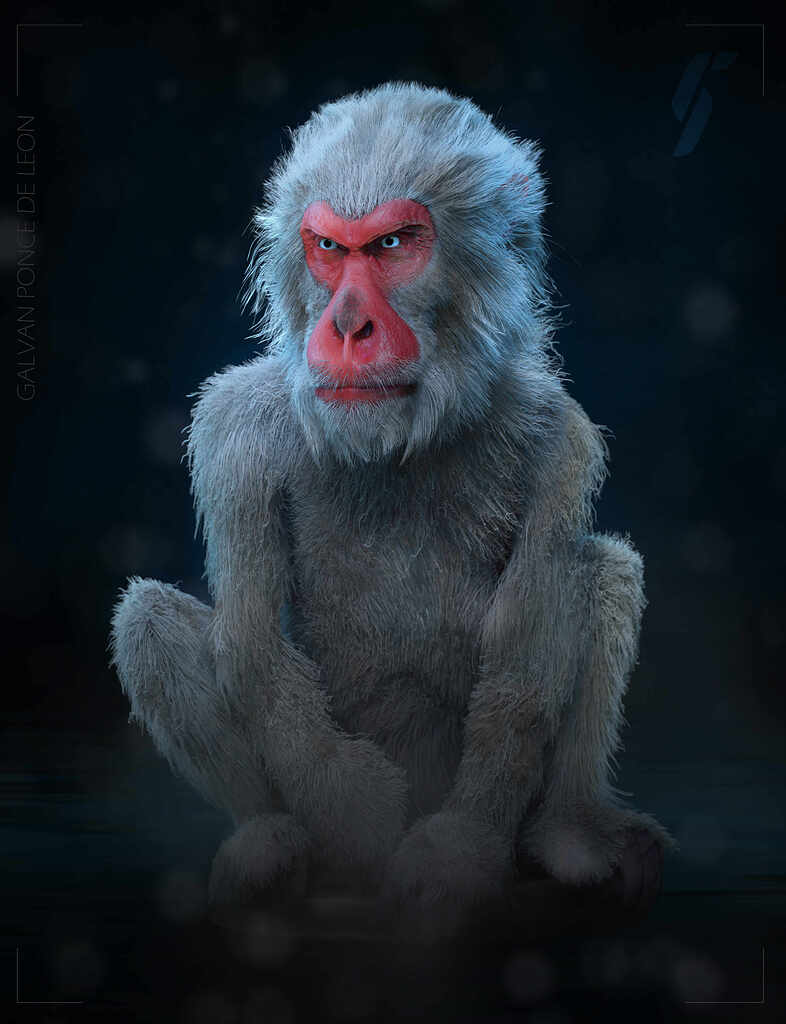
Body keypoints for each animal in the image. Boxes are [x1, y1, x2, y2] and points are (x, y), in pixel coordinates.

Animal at [110, 82, 671, 935]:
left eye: (395, 244)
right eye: (329, 248)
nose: (348, 326)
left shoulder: (560, 443)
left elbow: (524, 653)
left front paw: (456, 853)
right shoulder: (236, 432)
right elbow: (254, 648)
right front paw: (361, 816)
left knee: (602, 568)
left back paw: (567, 831)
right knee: (147, 619)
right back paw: (272, 839)